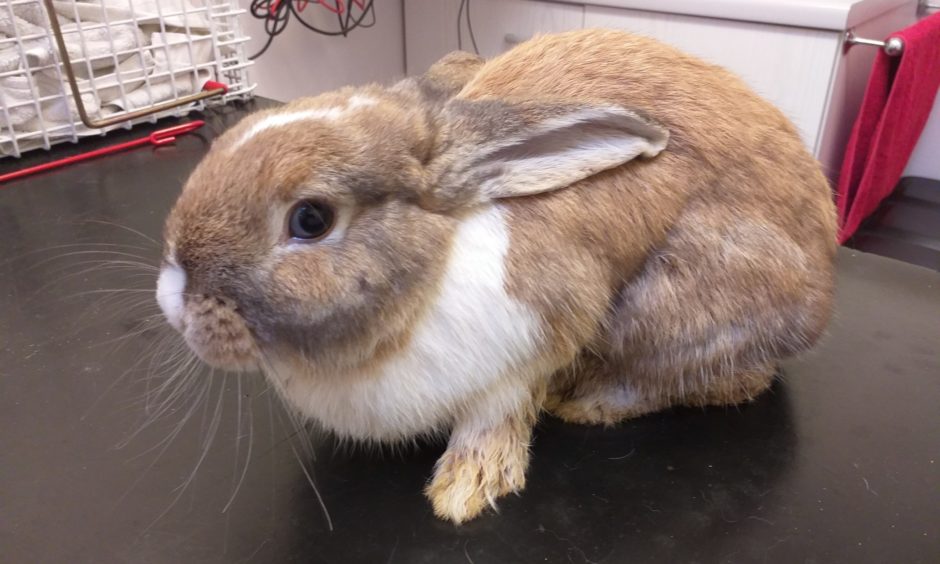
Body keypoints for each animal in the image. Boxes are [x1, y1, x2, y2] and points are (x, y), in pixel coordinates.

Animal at [156, 28, 837, 524]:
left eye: (311, 219)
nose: (172, 298)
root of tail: (819, 293)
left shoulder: (522, 356)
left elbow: (494, 422)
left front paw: (463, 491)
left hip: (673, 311)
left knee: (705, 381)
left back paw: (586, 402)